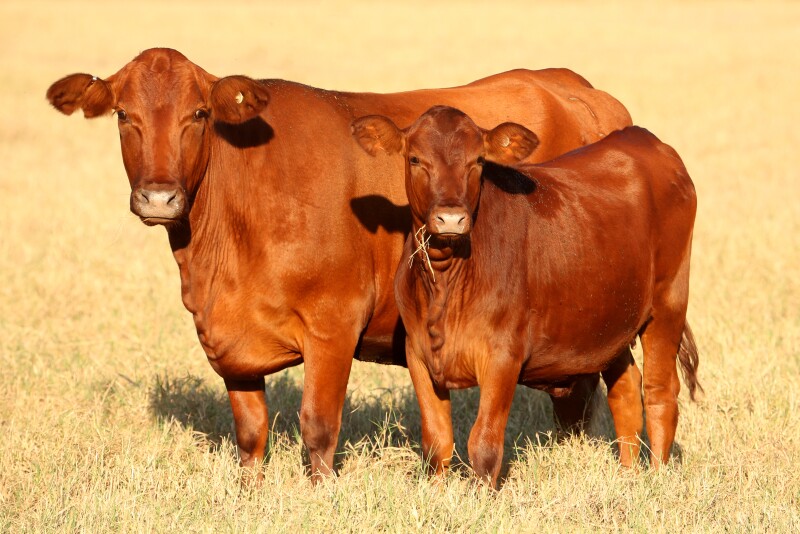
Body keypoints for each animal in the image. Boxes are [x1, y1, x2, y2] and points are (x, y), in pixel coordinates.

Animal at [46, 48, 632, 481]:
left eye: (198, 114)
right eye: (125, 115)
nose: (159, 197)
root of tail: (577, 90)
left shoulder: (334, 322)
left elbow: (319, 425)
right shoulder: (228, 337)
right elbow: (250, 432)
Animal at [352, 106, 700, 488]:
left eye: (478, 160)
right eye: (415, 158)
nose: (451, 219)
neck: (446, 281)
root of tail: (644, 140)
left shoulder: (504, 355)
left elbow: (484, 445)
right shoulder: (417, 353)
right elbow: (436, 442)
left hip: (668, 305)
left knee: (660, 393)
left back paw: (656, 477)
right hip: (608, 318)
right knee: (625, 391)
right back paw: (627, 476)